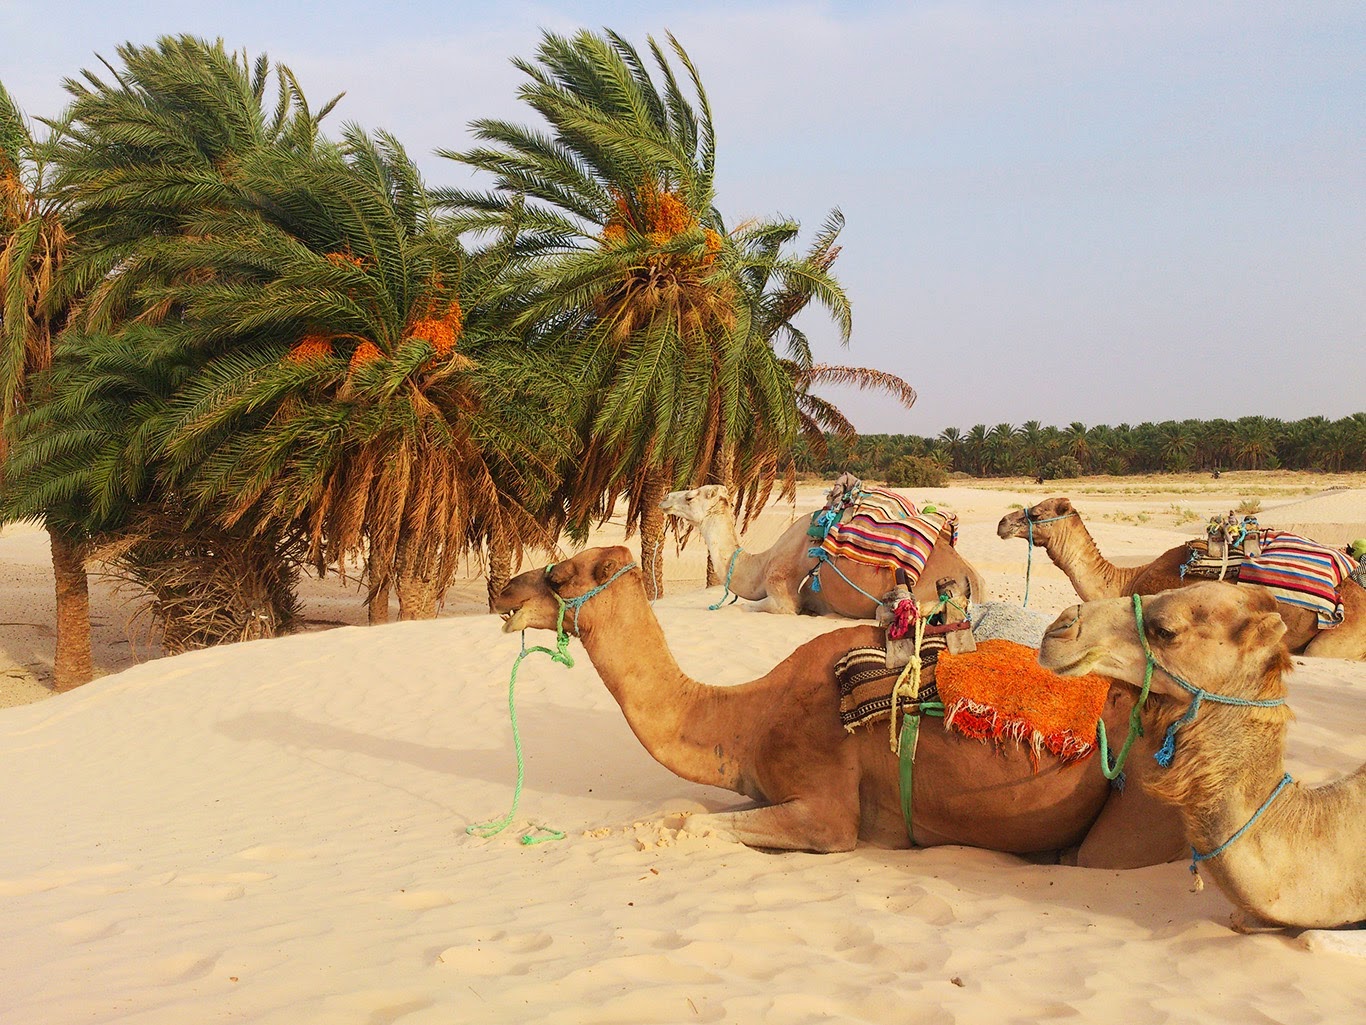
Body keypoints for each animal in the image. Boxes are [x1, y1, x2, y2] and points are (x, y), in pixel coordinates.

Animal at [493, 545, 1184, 866]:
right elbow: (687, 810)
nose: (503, 591)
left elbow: (696, 824)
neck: (749, 720)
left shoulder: (827, 811)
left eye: (559, 575)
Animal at [660, 484, 985, 618]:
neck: (762, 564)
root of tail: (968, 572)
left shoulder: (782, 594)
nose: (665, 499)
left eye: (690, 497)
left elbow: (744, 606)